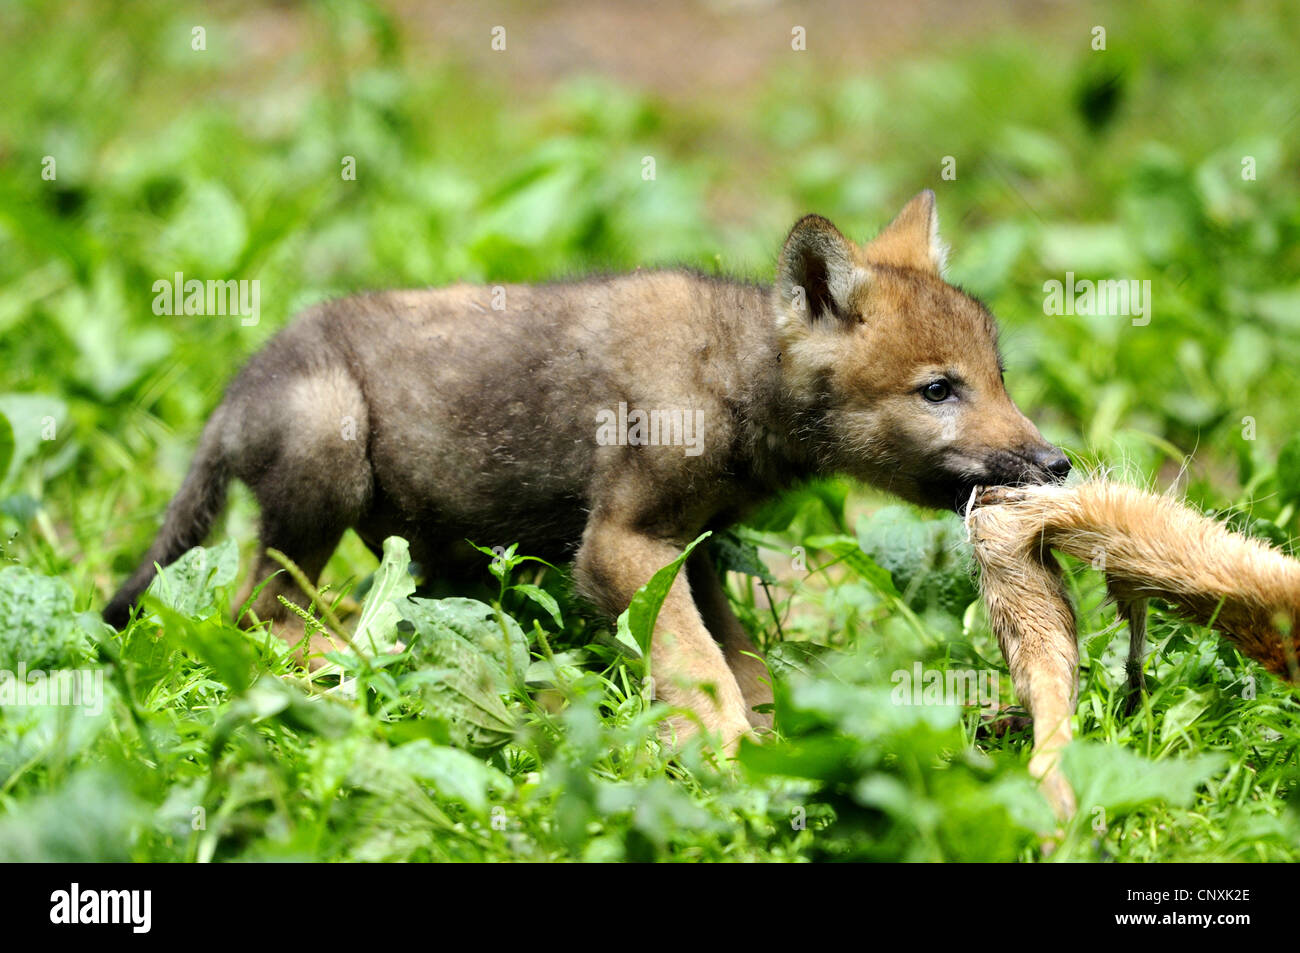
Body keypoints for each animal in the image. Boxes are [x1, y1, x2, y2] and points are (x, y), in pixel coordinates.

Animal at [105, 191, 1069, 751]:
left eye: (999, 378)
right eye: (939, 390)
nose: (1057, 462)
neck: (729, 377)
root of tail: (234, 389)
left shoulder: (688, 549)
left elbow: (736, 656)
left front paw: (774, 739)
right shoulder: (614, 546)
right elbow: (696, 661)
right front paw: (719, 747)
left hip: (423, 541)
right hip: (327, 453)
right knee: (259, 613)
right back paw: (362, 657)